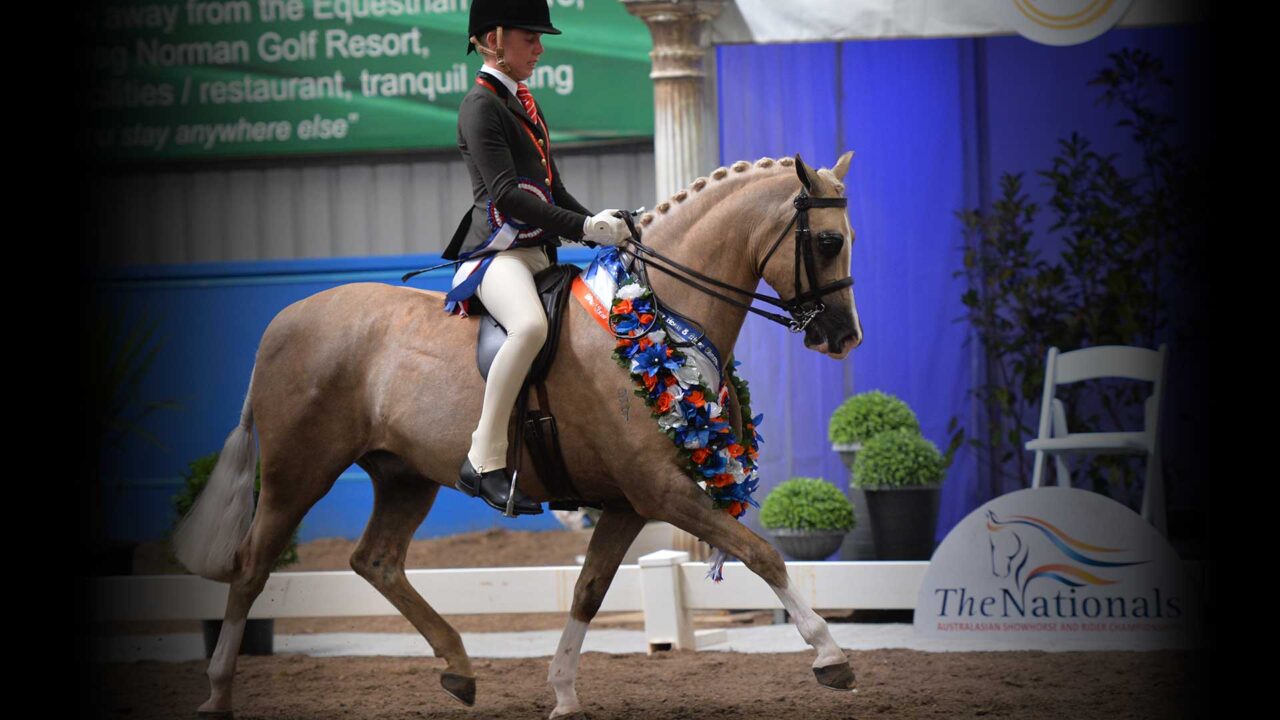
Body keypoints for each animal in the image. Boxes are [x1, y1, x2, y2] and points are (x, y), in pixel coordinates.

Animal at [172, 151, 863, 719]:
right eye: (829, 240)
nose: (844, 336)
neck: (657, 313)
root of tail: (281, 322)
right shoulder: (663, 492)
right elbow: (763, 554)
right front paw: (830, 655)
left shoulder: (626, 503)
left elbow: (589, 590)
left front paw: (562, 693)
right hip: (298, 473)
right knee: (252, 568)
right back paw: (217, 692)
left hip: (404, 475)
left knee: (376, 561)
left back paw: (458, 669)